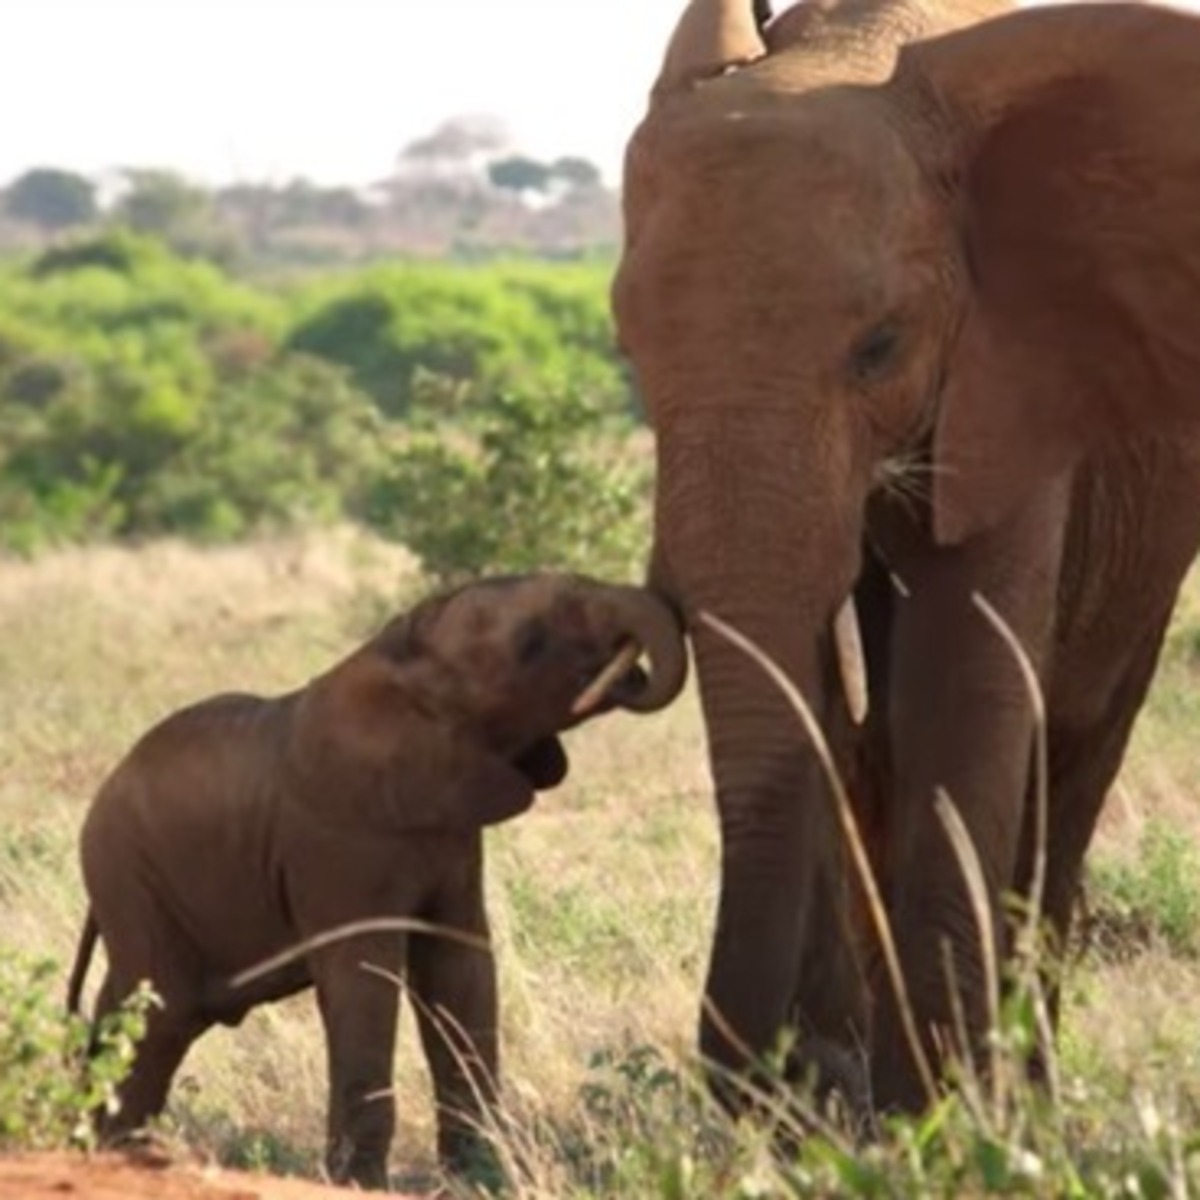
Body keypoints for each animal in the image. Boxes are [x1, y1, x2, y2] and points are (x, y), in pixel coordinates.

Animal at [66, 572, 686, 1189]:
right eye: (531, 643)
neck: (403, 657)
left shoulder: (451, 828)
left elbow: (459, 967)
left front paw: (478, 1178)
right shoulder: (336, 839)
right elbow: (364, 978)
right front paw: (361, 1184)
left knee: (123, 1007)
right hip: (129, 878)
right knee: (160, 1017)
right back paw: (116, 1157)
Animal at [614, 0, 1200, 1114]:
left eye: (880, 347)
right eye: (628, 349)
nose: (778, 1076)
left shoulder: (1015, 371)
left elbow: (962, 678)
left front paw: (942, 1113)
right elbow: (825, 704)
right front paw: (855, 1103)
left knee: (1073, 749)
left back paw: (1027, 1095)